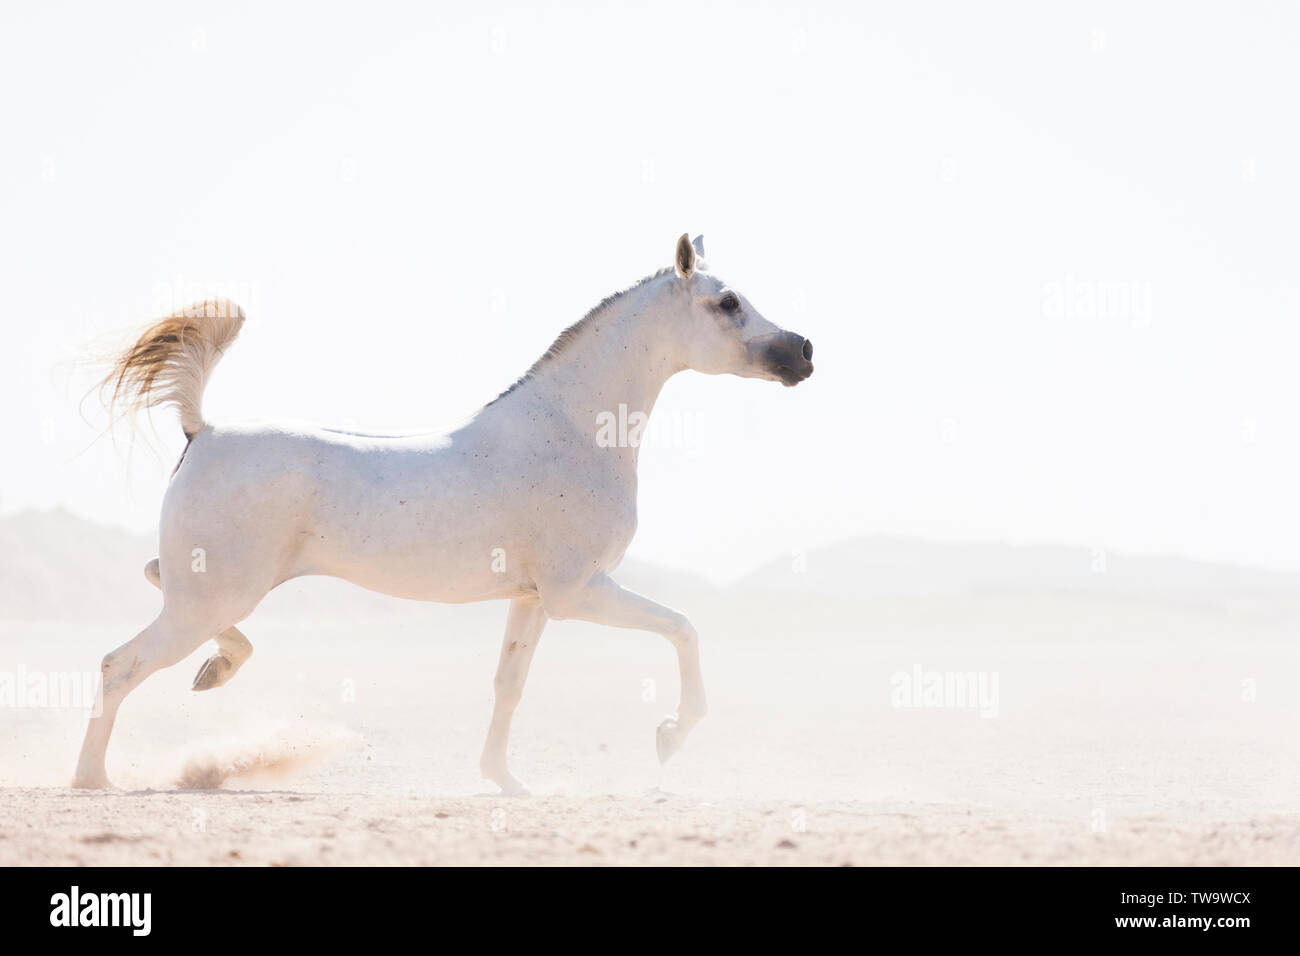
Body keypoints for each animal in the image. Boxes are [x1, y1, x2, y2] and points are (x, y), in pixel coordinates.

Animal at [73, 234, 815, 794]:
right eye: (727, 301)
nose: (803, 352)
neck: (572, 432)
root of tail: (203, 430)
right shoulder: (579, 592)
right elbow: (682, 628)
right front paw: (669, 737)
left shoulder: (533, 599)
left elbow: (508, 686)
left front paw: (506, 783)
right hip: (209, 598)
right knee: (119, 665)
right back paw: (93, 780)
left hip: (212, 591)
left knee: (158, 586)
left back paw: (215, 671)